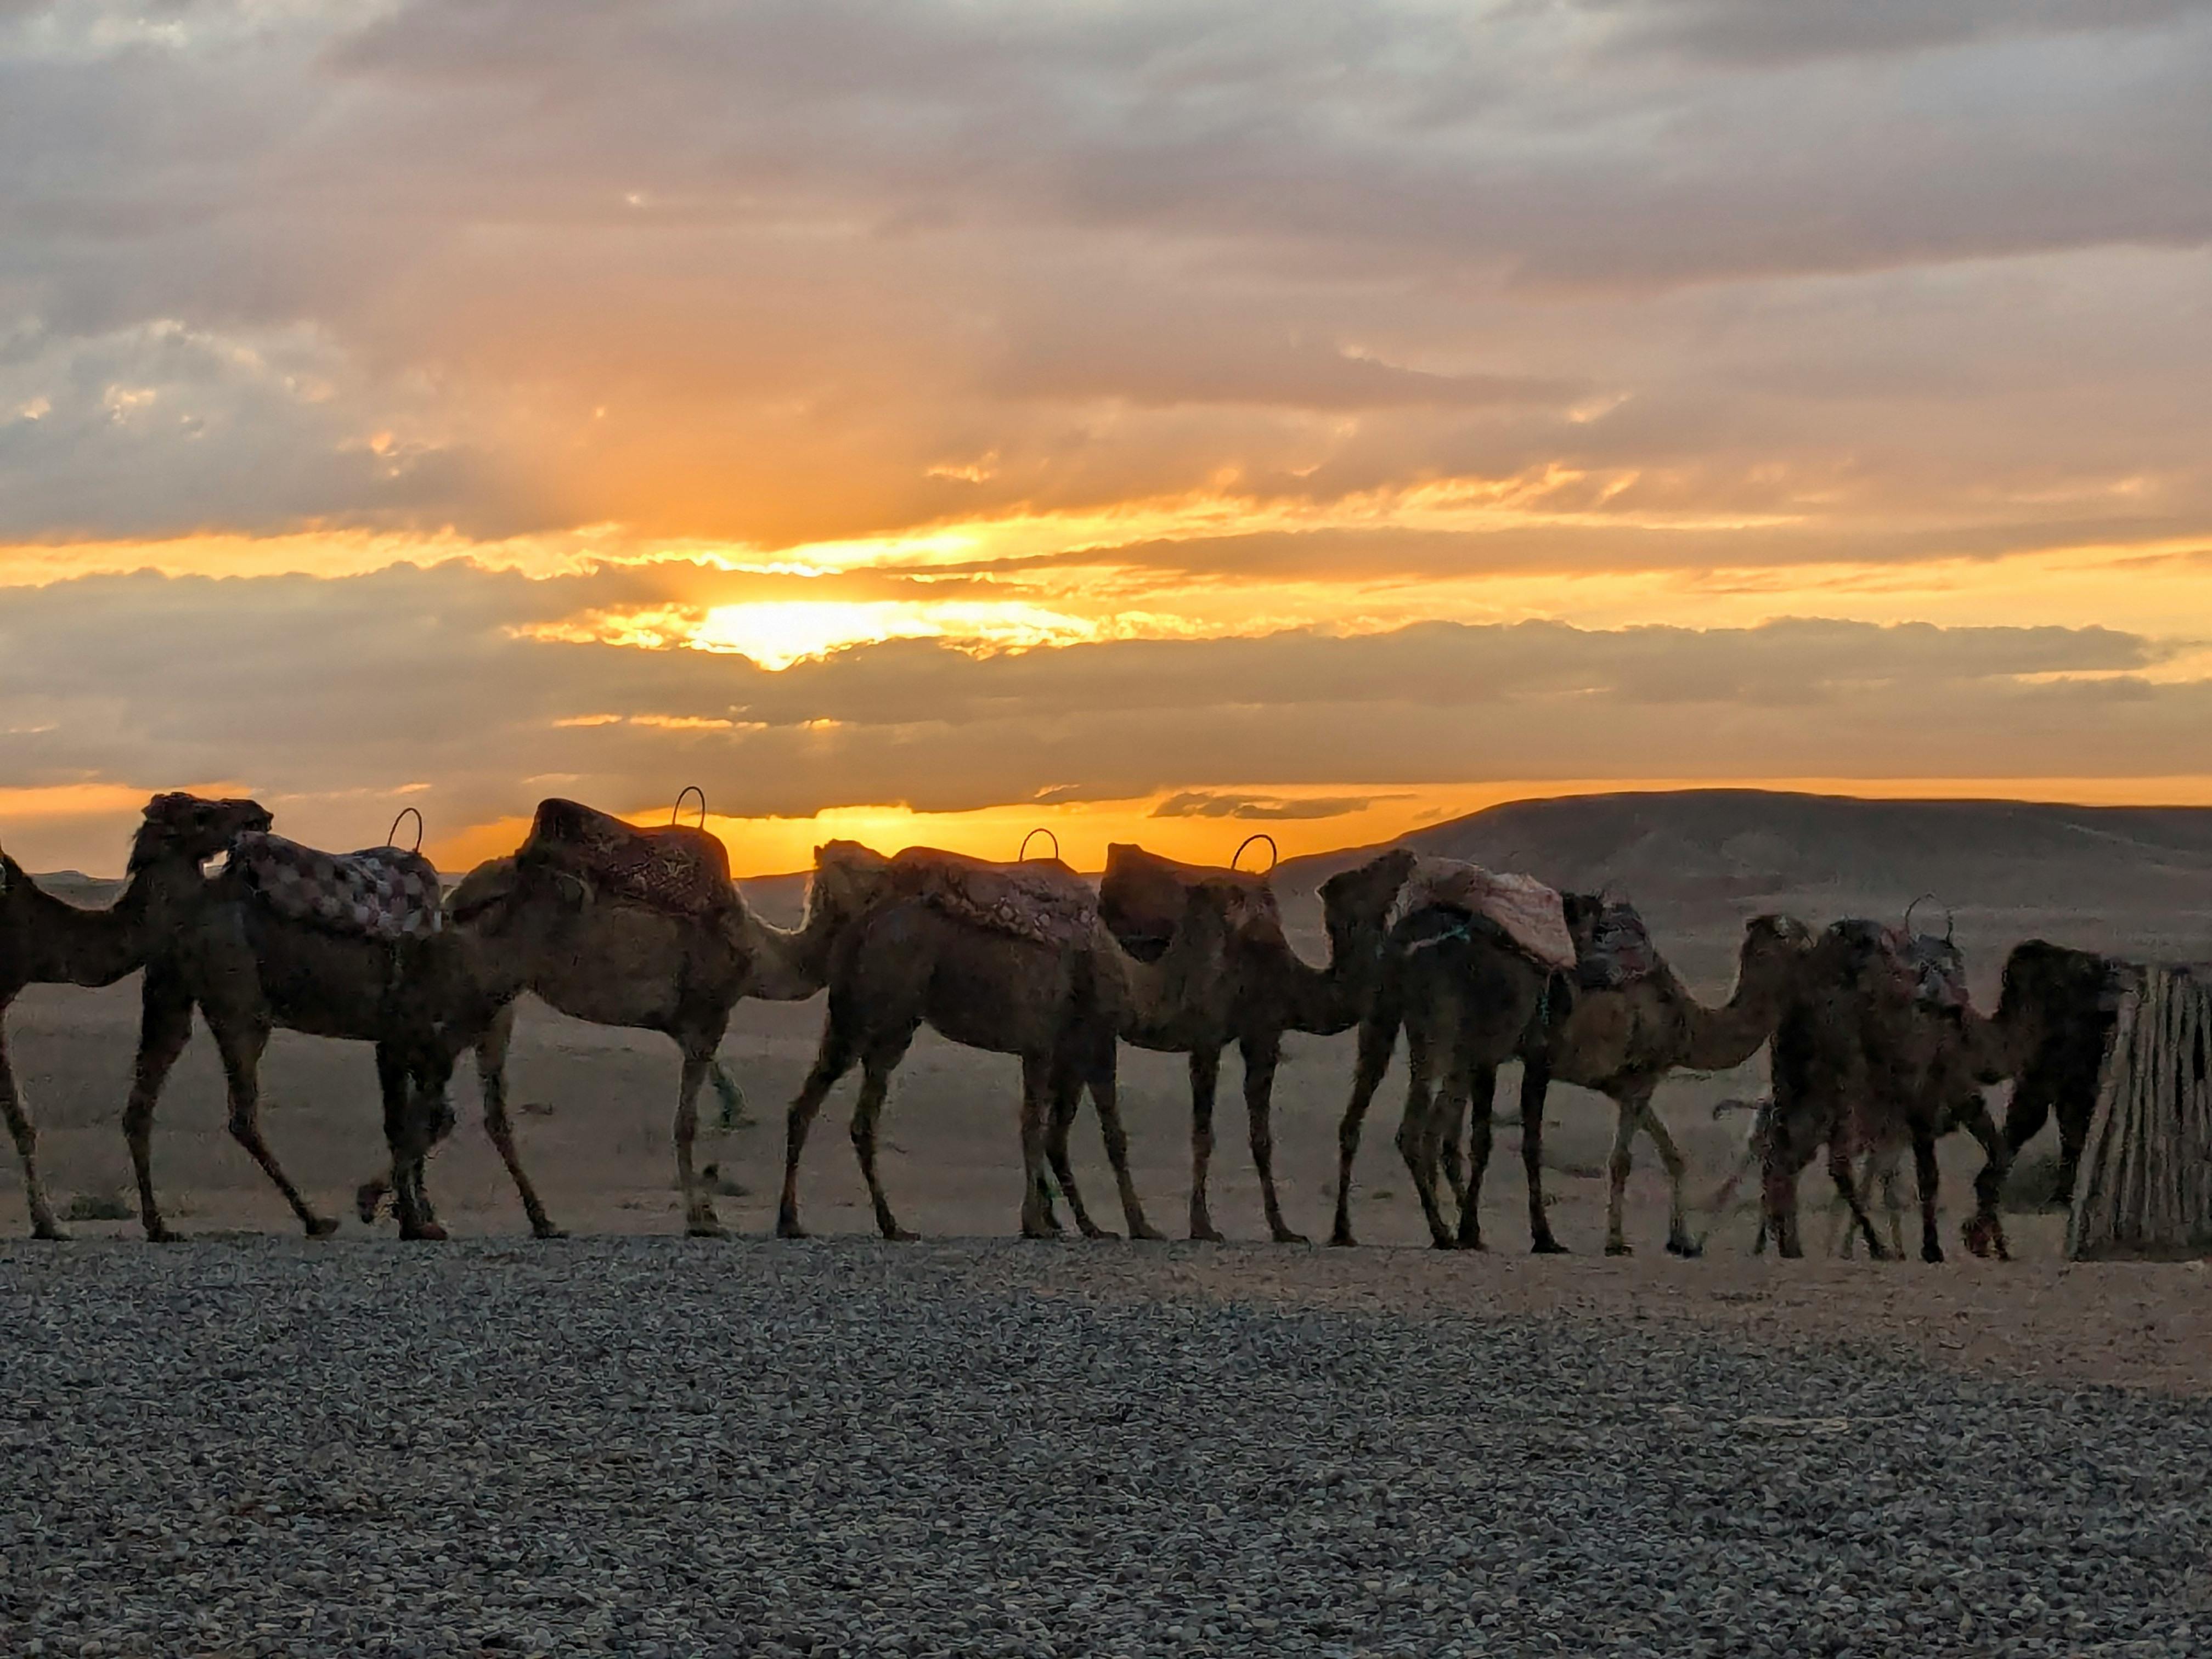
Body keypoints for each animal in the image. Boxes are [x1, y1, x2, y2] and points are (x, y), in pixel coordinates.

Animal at [0, 794, 271, 1239]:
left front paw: (46, 1223)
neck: (36, 936)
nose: (258, 813)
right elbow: (18, 1114)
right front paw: (50, 1223)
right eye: (201, 815)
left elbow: (20, 1115)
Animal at [122, 794, 463, 1242]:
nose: (257, 812)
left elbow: (406, 1120)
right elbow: (427, 1119)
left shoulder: (396, 1038)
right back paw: (315, 1219)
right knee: (242, 1118)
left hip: (172, 997)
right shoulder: (411, 1032)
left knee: (140, 1105)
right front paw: (398, 1213)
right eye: (201, 813)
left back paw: (158, 1225)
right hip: (240, 1007)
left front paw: (415, 1218)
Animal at [362, 837, 894, 1239]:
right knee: (430, 1074)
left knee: (444, 1084)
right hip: (481, 989)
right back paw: (405, 1208)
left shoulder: (686, 1028)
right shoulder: (707, 1020)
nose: (896, 869)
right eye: (861, 861)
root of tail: (454, 902)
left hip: (487, 998)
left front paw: (704, 1211)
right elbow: (686, 1123)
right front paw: (701, 1219)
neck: (760, 954)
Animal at [777, 873, 1239, 1243]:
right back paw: (855, 1224)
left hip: (876, 1023)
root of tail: (858, 929)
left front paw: (1075, 1225)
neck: (1138, 983)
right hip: (875, 1012)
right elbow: (1101, 1136)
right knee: (837, 1110)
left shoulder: (1052, 1050)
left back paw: (833, 1223)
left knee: (831, 1110)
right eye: (1231, 896)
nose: (1242, 898)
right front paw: (1134, 1226)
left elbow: (1044, 1130)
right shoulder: (1089, 1040)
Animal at [1097, 844, 1414, 1243]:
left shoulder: (1263, 1034)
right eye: (1367, 872)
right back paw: (1134, 1226)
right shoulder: (1208, 1036)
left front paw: (1284, 1229)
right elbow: (1203, 1135)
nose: (1404, 855)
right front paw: (1202, 1226)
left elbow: (1261, 1139)